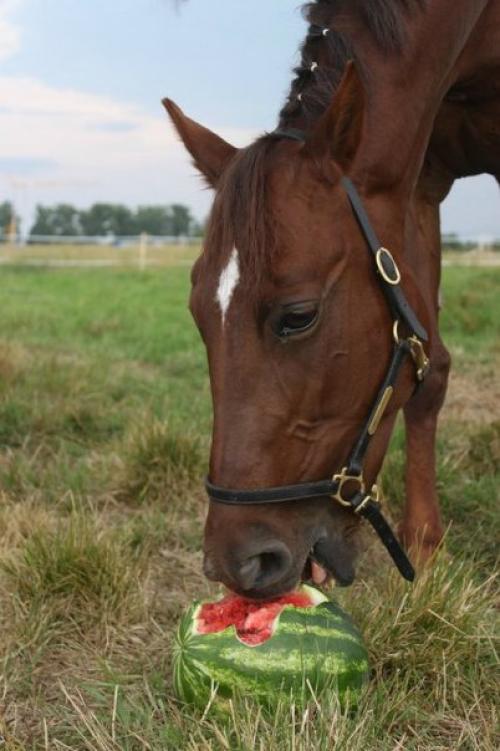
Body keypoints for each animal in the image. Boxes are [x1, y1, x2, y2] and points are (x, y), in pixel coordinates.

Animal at [165, 0, 500, 600]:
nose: (238, 563)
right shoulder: (419, 181)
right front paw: (425, 545)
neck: (470, 28)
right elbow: (429, 368)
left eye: (299, 317)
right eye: (199, 315)